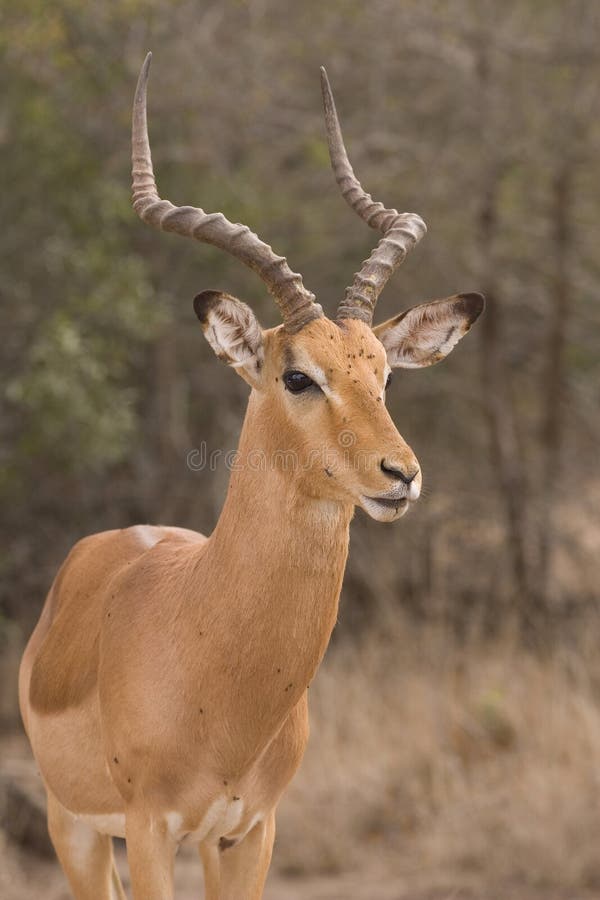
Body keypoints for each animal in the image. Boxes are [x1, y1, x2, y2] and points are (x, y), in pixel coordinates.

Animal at [19, 54, 483, 900]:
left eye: (384, 375)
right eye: (298, 376)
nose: (400, 474)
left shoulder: (251, 831)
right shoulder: (152, 830)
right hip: (74, 829)